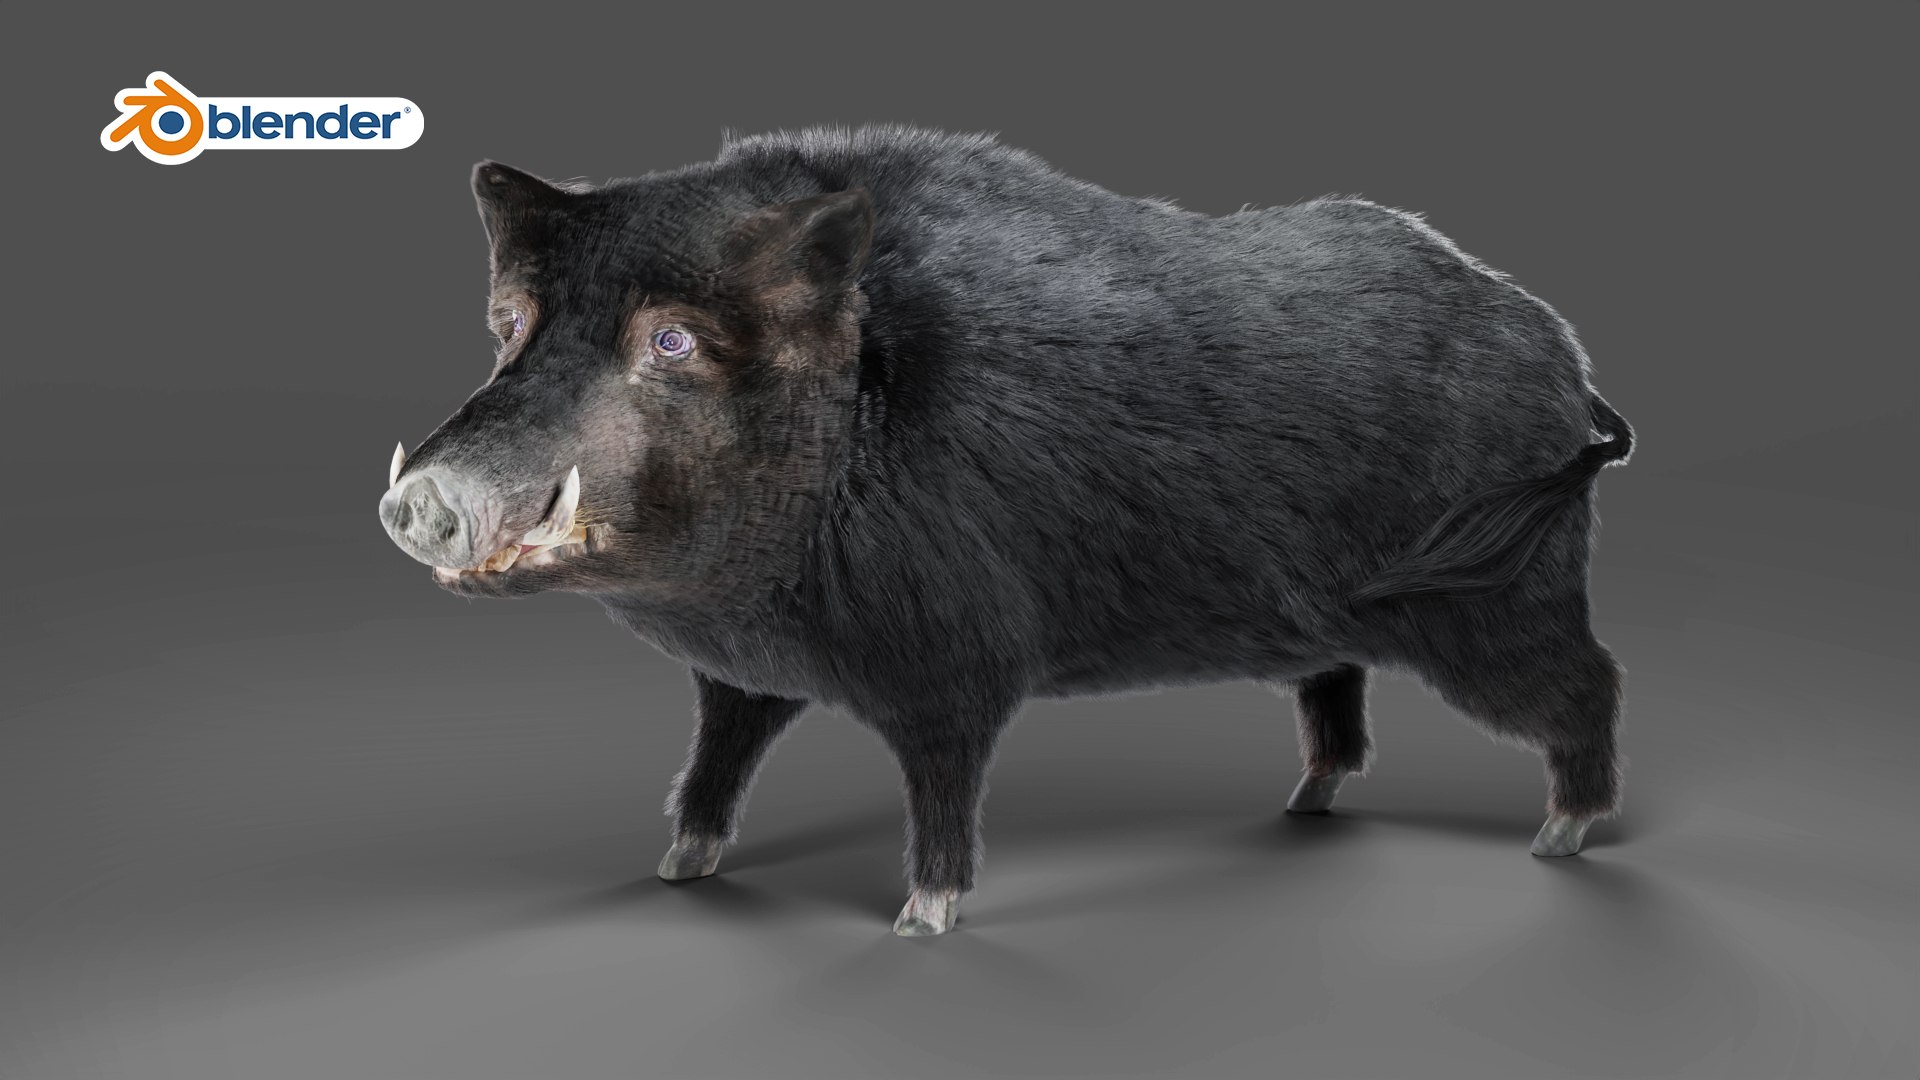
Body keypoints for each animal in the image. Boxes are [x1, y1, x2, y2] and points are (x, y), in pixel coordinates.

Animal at [379, 126, 1634, 936]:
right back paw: (1307, 804)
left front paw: (920, 922)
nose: (418, 502)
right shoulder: (739, 675)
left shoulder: (956, 661)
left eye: (674, 339)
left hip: (1502, 598)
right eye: (512, 322)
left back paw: (1562, 838)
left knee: (1594, 683)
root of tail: (1568, 363)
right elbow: (717, 757)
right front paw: (681, 872)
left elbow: (943, 778)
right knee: (1339, 698)